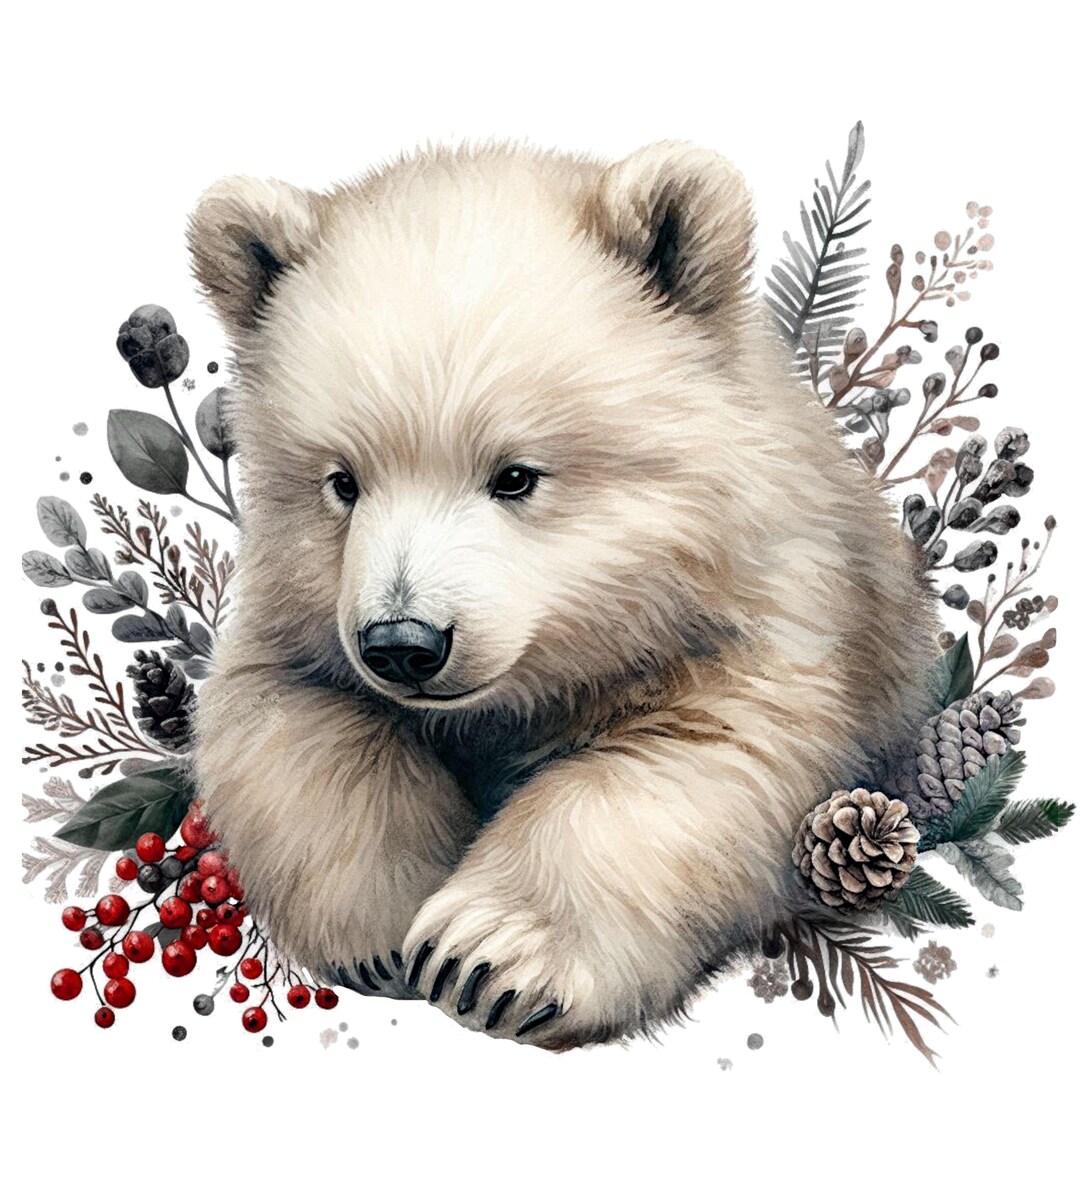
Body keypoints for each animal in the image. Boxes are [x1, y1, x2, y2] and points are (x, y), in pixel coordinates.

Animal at [188, 141, 938, 1048]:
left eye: (515, 475)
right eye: (343, 482)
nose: (403, 643)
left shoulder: (764, 619)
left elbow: (697, 755)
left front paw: (490, 955)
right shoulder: (300, 625)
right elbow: (296, 726)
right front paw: (384, 927)